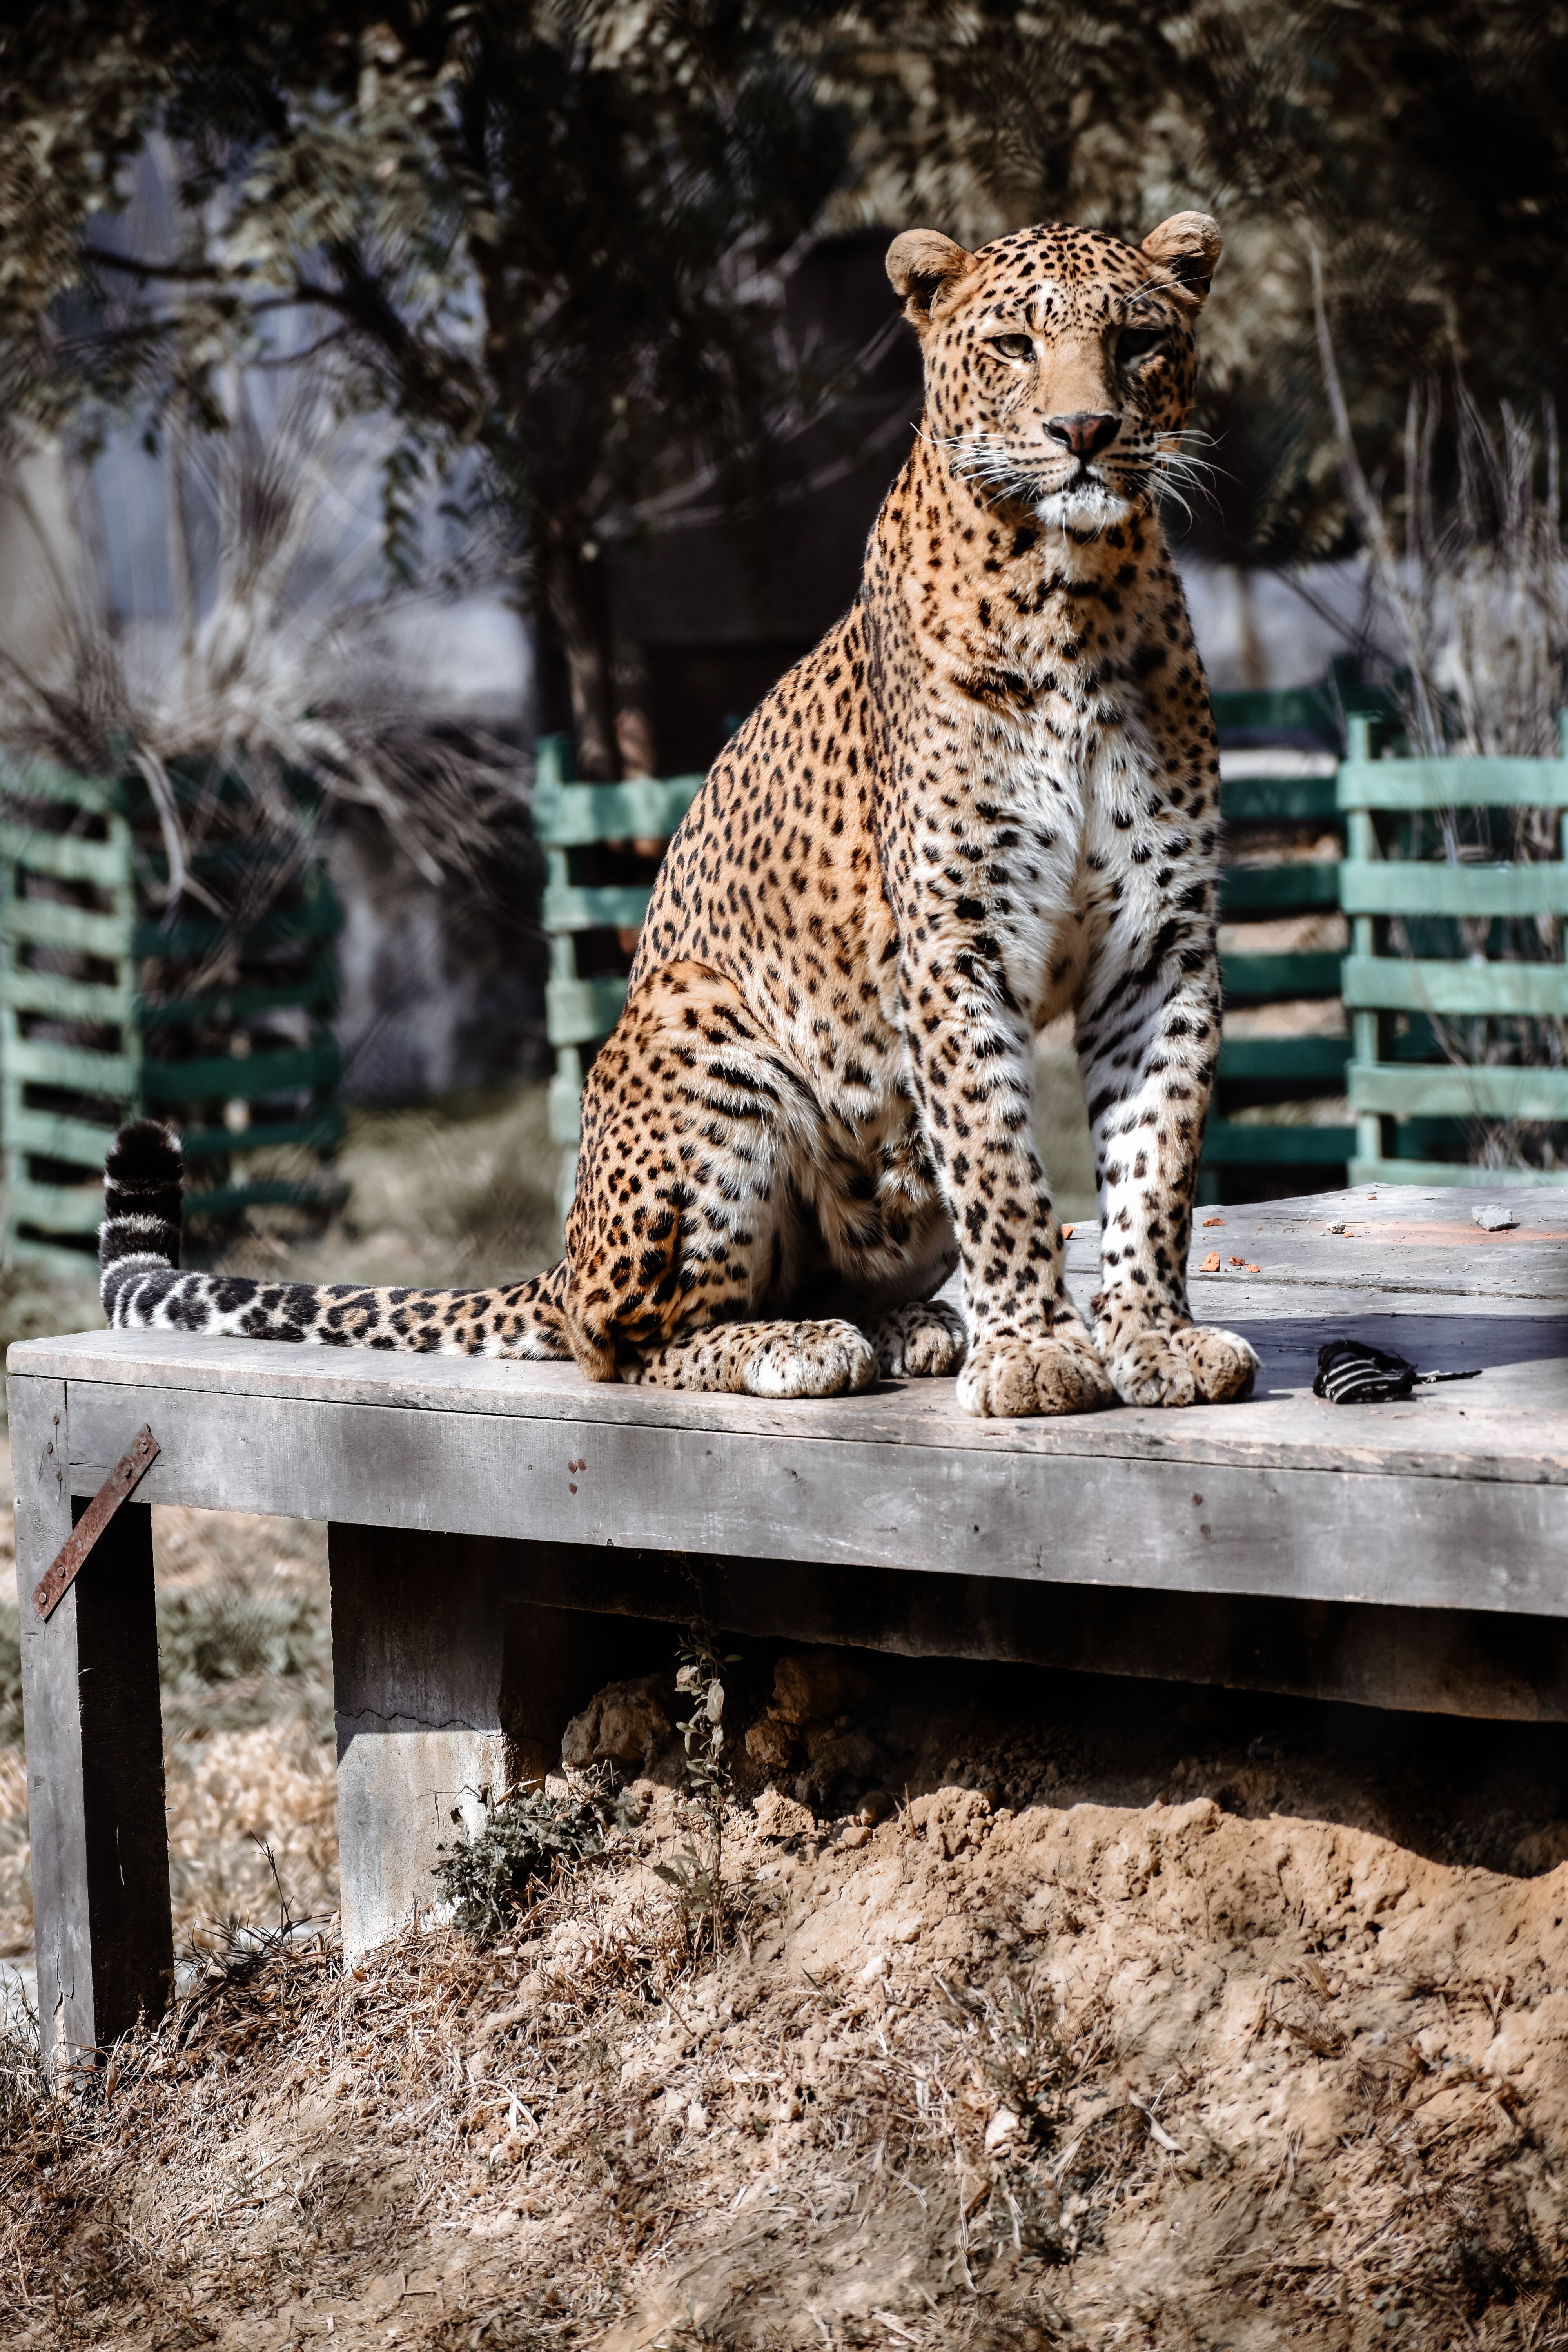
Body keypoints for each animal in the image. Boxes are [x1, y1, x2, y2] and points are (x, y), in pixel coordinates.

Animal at [100, 206, 1258, 1421]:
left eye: (1136, 342)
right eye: (1012, 348)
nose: (1084, 428)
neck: (1074, 593)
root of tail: (562, 1258)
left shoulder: (1160, 940)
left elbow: (1154, 1160)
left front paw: (1153, 1335)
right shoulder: (955, 943)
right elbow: (1000, 1164)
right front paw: (1036, 1350)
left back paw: (908, 1327)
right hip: (693, 1024)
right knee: (621, 1339)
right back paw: (795, 1345)